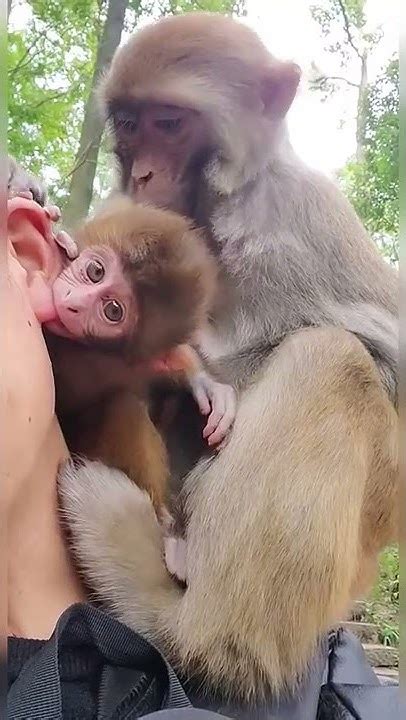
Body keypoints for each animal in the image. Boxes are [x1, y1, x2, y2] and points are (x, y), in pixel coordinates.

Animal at [58, 12, 398, 705]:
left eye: (170, 123)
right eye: (129, 123)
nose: (143, 176)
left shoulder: (305, 215)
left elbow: (388, 367)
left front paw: (200, 375)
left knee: (334, 358)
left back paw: (195, 630)